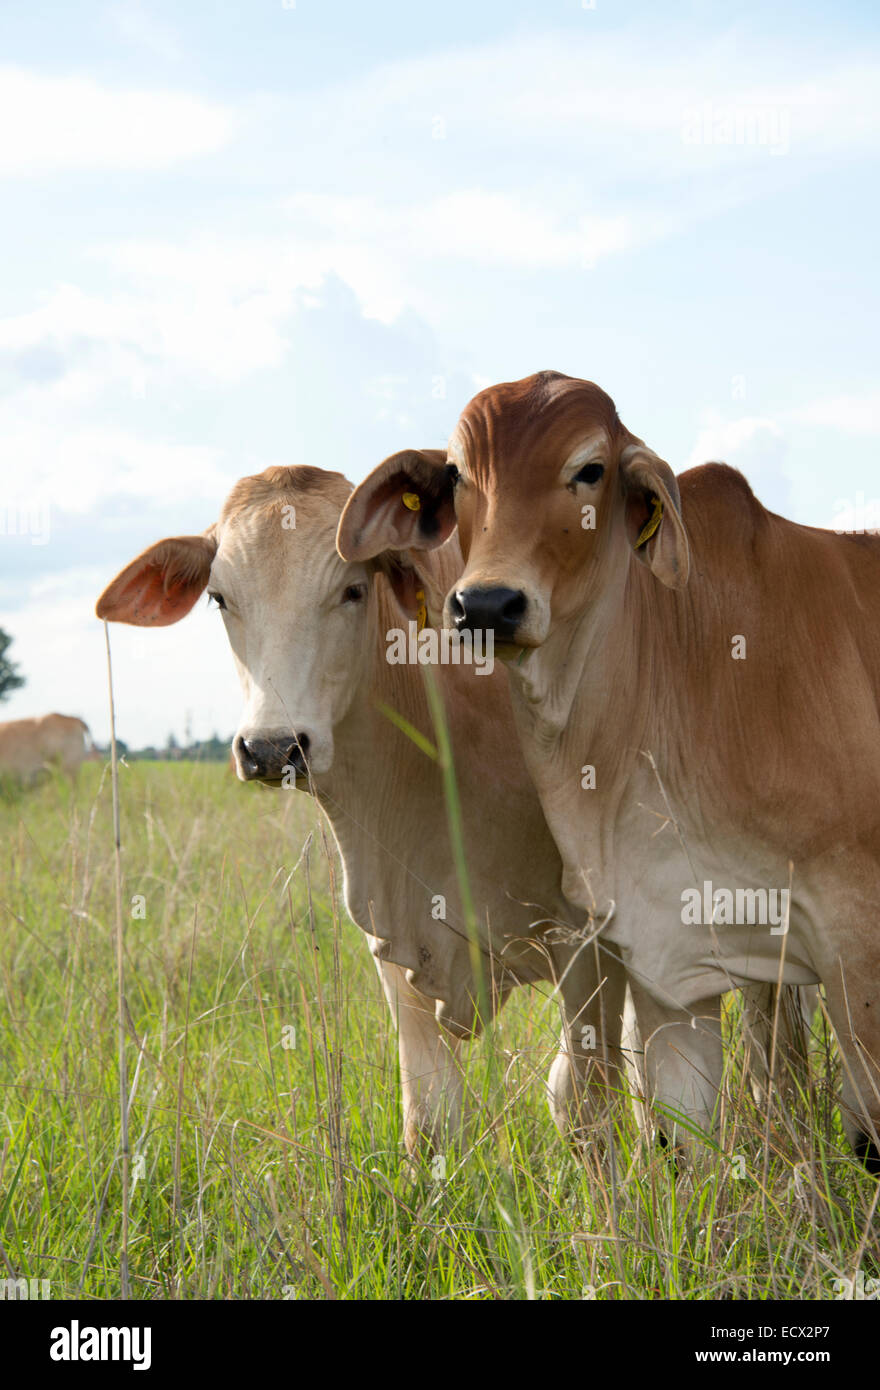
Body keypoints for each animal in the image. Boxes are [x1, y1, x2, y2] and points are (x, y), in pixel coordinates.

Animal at [95, 462, 633, 1155]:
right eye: (219, 598)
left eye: (353, 589)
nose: (271, 748)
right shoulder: (394, 935)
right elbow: (432, 1114)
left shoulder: (588, 938)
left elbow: (581, 1101)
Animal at [337, 373, 880, 1170]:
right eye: (459, 475)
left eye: (589, 469)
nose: (486, 605)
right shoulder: (665, 957)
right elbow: (681, 1137)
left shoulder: (857, 944)